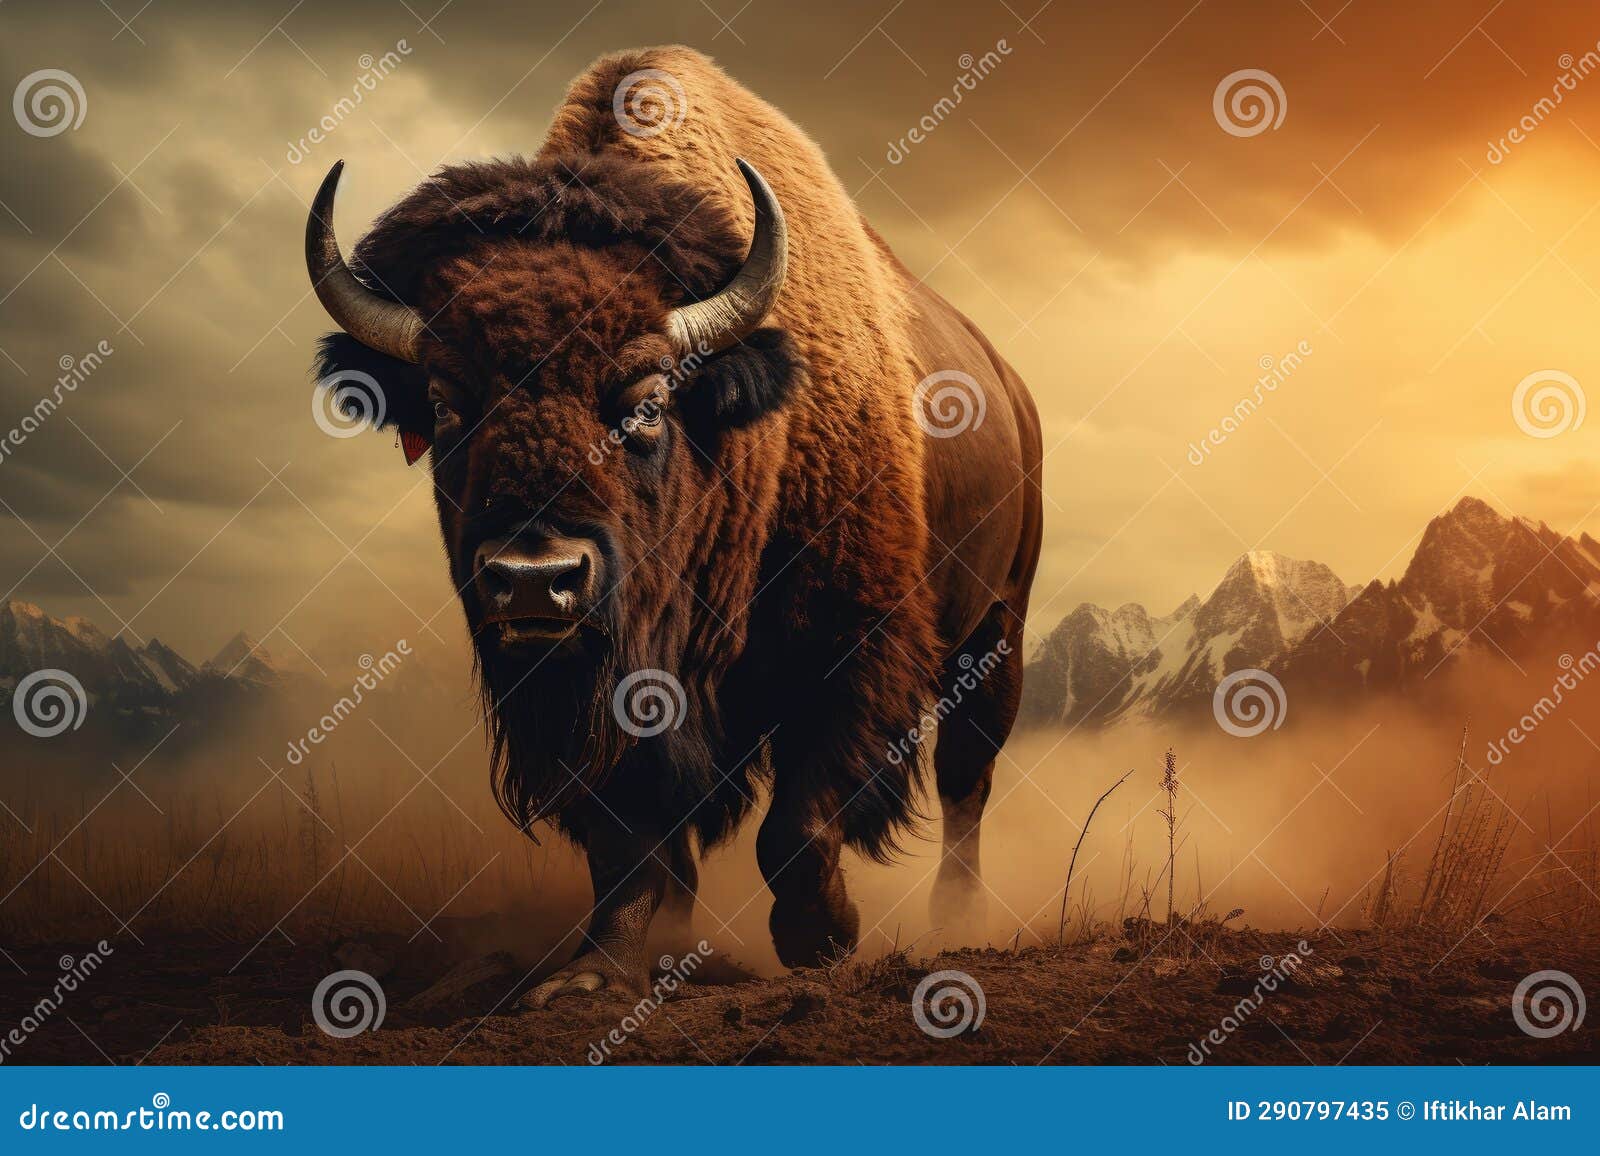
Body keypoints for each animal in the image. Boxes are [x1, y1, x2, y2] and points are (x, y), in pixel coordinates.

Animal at [306, 46, 1041, 1005]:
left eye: (648, 402)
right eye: (445, 402)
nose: (537, 580)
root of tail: (1011, 387)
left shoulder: (851, 641)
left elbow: (796, 822)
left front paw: (823, 937)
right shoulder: (611, 689)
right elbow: (631, 835)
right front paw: (598, 971)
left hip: (997, 626)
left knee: (965, 780)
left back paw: (956, 919)